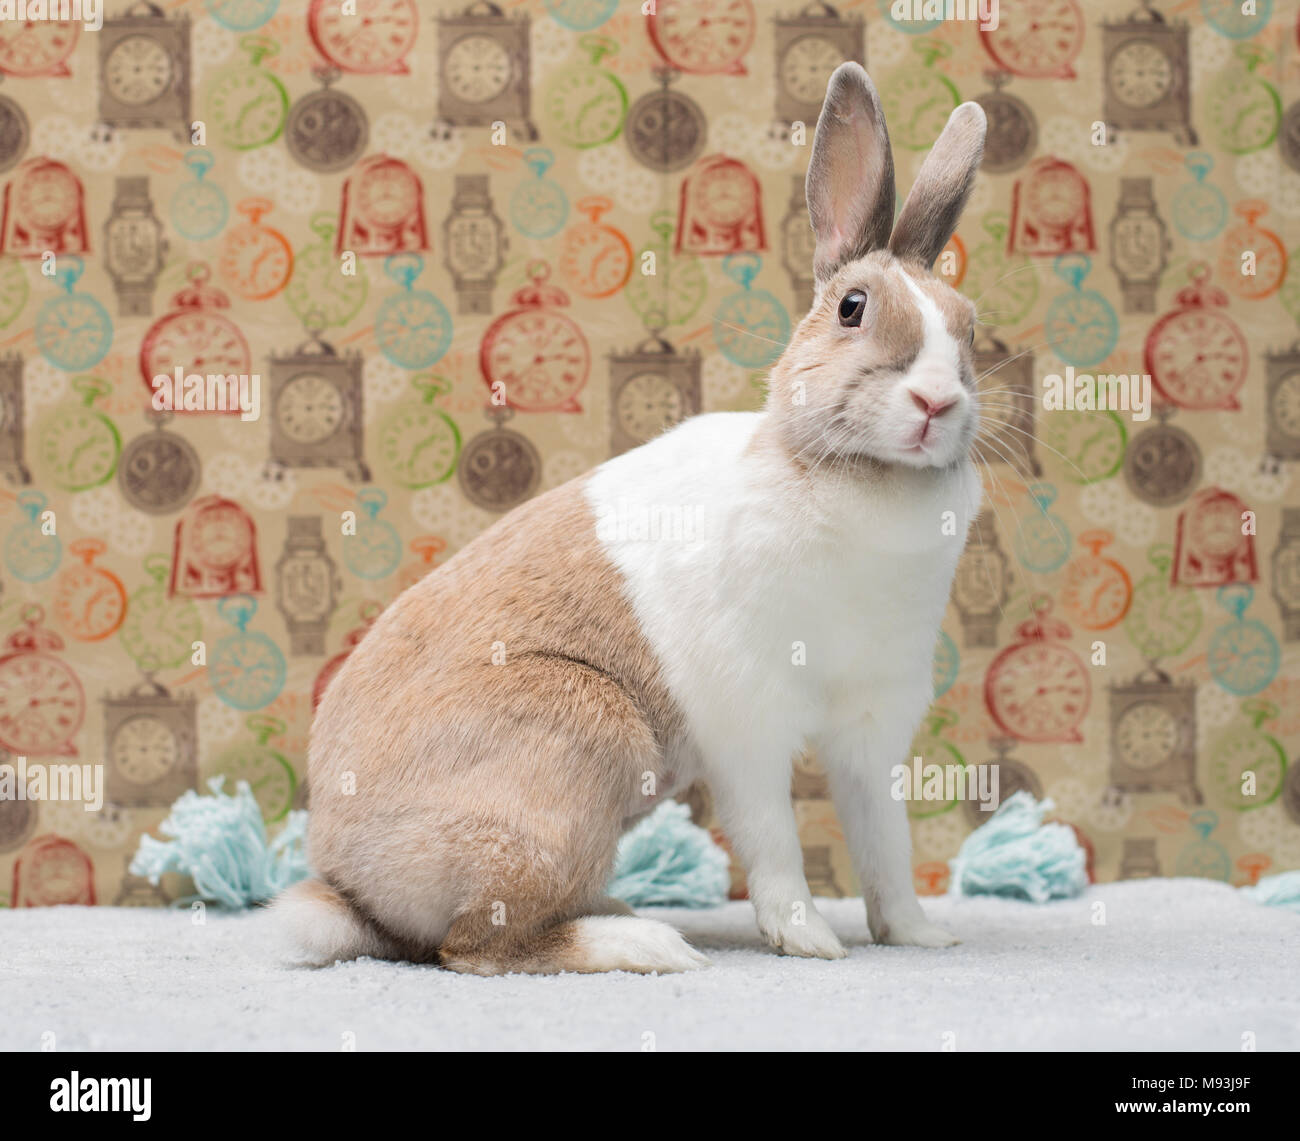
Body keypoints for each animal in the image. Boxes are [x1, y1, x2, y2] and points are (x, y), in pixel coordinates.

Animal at [276, 62, 988, 975]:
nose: (936, 401)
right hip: (579, 742)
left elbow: (885, 846)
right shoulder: (747, 725)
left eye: (971, 328)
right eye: (853, 308)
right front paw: (808, 939)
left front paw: (920, 934)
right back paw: (646, 940)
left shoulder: (871, 732)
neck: (855, 477)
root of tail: (347, 884)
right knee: (479, 947)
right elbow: (774, 841)